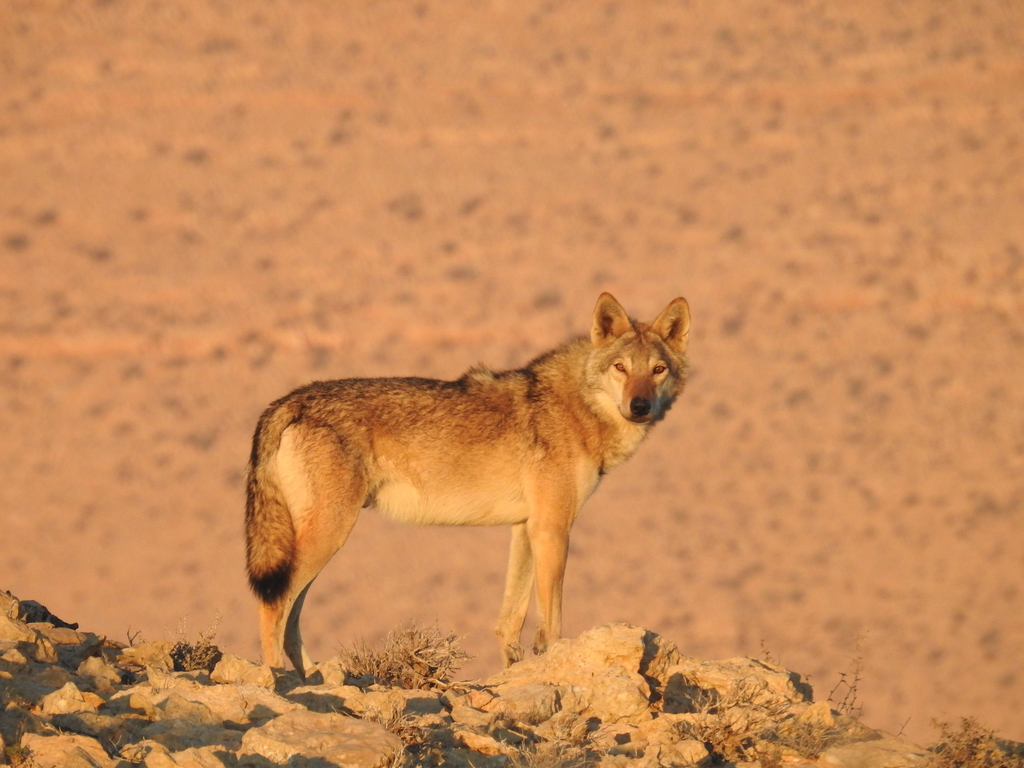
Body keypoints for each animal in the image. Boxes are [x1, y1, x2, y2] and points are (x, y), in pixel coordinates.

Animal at [245, 292, 690, 675]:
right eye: (620, 368)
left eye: (657, 370)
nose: (640, 406)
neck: (578, 407)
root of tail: (288, 401)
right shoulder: (553, 528)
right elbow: (552, 618)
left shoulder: (526, 527)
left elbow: (510, 620)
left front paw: (514, 672)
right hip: (329, 533)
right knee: (275, 603)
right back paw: (279, 677)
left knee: (291, 613)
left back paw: (313, 676)